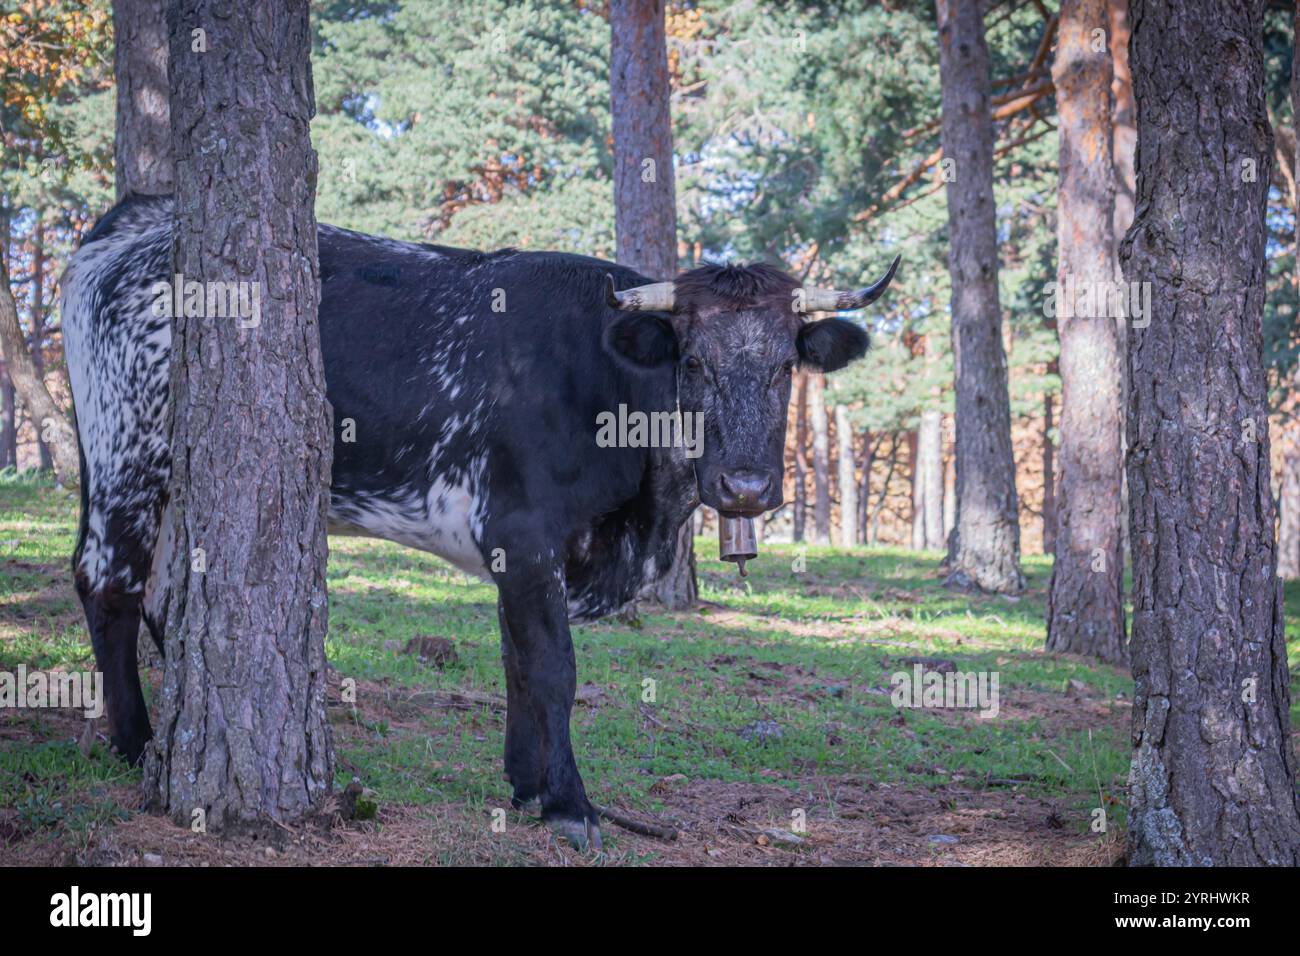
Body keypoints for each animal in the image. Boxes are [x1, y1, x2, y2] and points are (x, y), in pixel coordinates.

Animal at [60, 194, 899, 848]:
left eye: (786, 366)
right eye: (692, 362)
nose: (746, 485)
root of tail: (136, 222)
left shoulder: (515, 552)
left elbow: (517, 663)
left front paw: (526, 786)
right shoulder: (525, 534)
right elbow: (554, 668)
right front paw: (569, 805)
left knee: (166, 597)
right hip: (128, 455)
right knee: (108, 586)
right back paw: (136, 743)